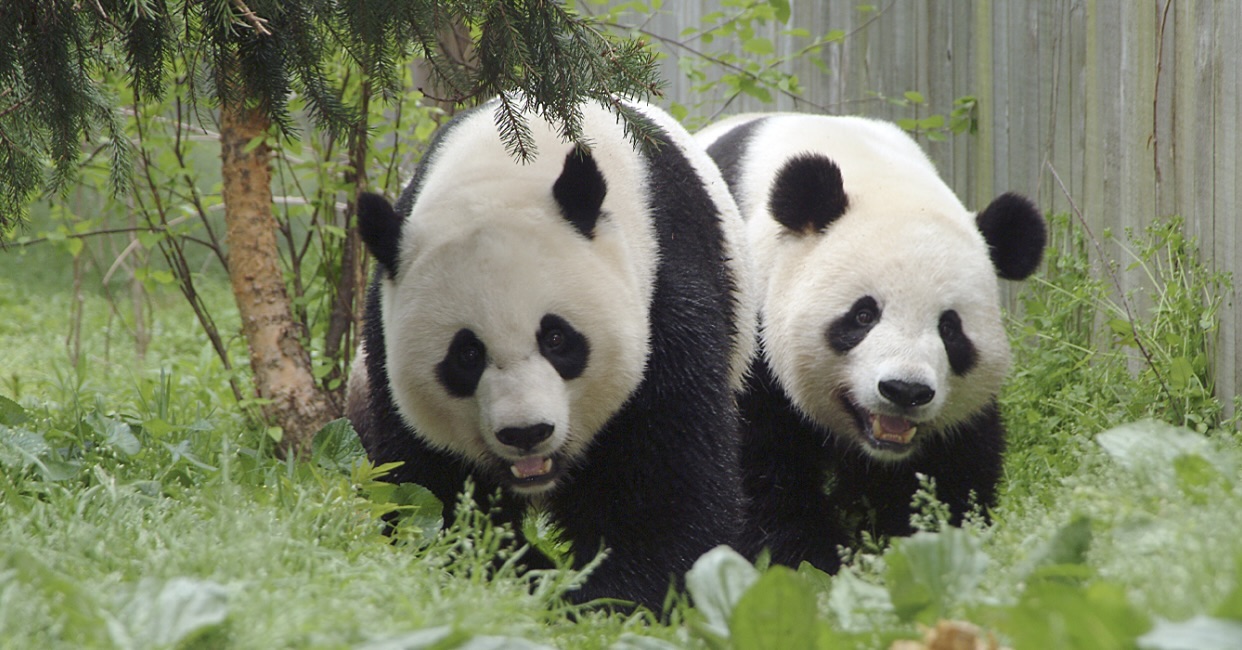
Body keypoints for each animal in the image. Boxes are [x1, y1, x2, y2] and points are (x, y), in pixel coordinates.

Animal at [345, 96, 757, 610]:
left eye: (557, 339)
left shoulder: (664, 285)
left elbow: (664, 481)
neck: (511, 163)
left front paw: (613, 596)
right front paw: (508, 576)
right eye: (466, 356)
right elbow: (431, 486)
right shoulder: (384, 332)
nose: (526, 433)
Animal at [695, 113, 1046, 573]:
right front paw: (815, 558)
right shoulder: (751, 332)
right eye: (864, 315)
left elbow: (951, 469)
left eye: (950, 329)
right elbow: (758, 465)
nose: (905, 391)